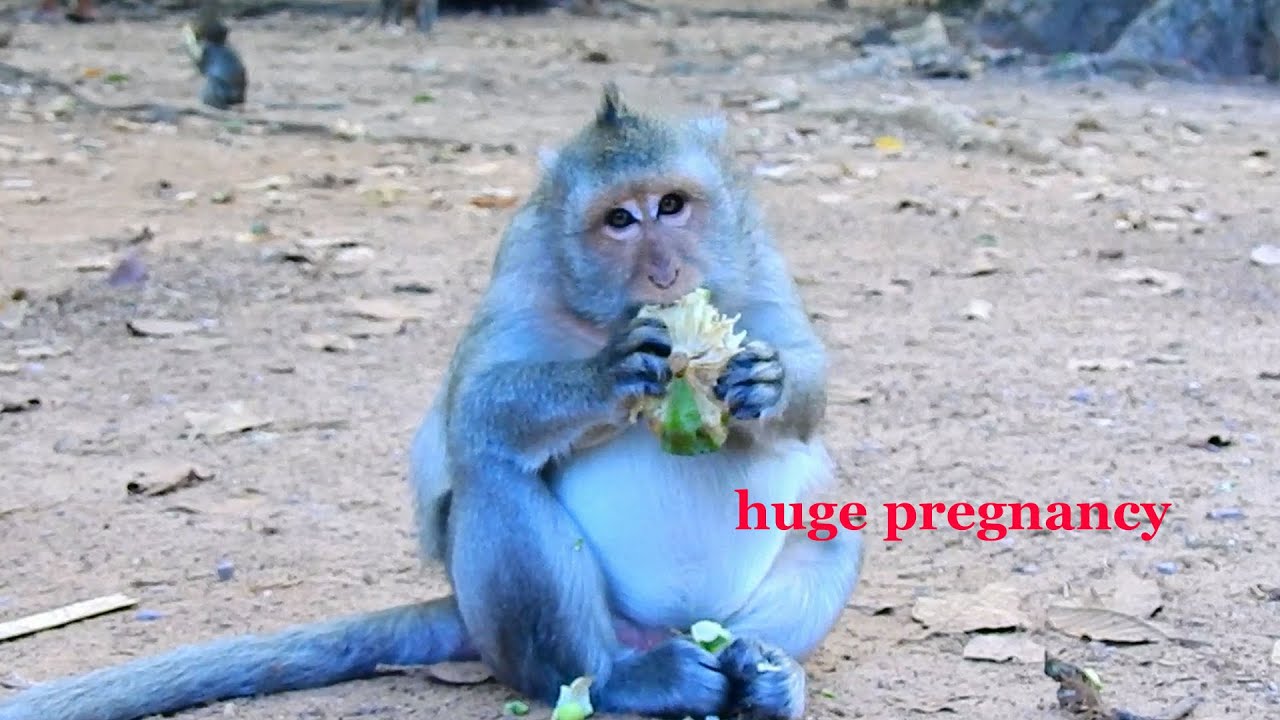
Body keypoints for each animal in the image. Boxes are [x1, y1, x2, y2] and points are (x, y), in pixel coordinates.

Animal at [0, 83, 865, 720]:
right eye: (619, 220)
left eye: (674, 206)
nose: (664, 273)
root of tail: (662, 636)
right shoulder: (521, 275)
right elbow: (475, 414)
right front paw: (608, 374)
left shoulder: (755, 258)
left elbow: (809, 382)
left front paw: (768, 380)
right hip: (555, 634)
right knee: (495, 481)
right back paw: (624, 680)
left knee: (834, 521)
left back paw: (764, 668)